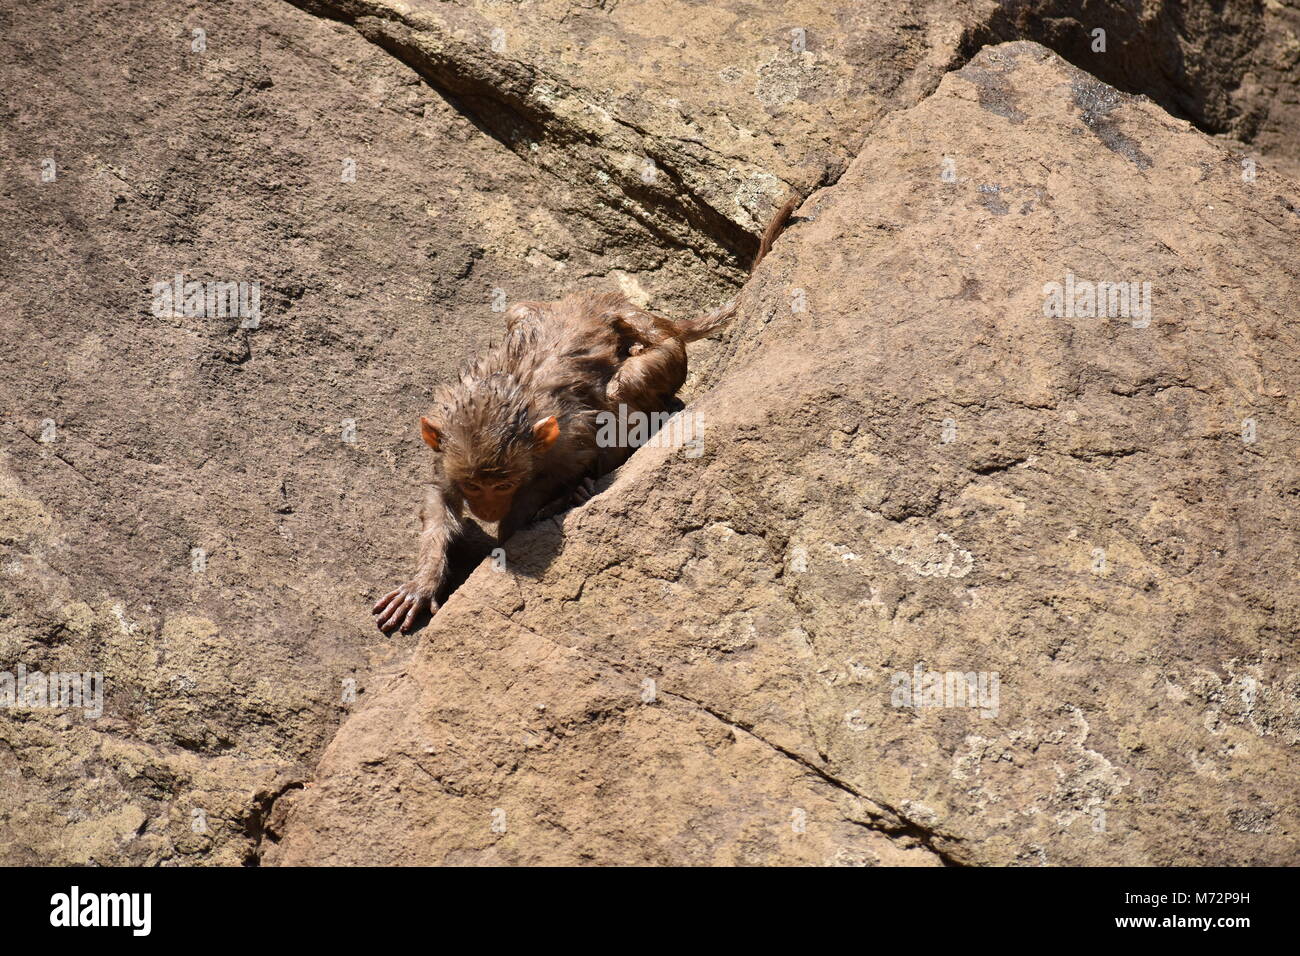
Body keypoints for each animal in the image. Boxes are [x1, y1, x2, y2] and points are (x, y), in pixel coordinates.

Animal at [373, 196, 798, 633]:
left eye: (503, 485)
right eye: (474, 486)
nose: (487, 509)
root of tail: (613, 305)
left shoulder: (563, 441)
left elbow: (563, 470)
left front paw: (534, 512)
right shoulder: (445, 441)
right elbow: (439, 496)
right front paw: (422, 583)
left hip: (667, 351)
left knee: (623, 388)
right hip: (540, 308)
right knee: (519, 314)